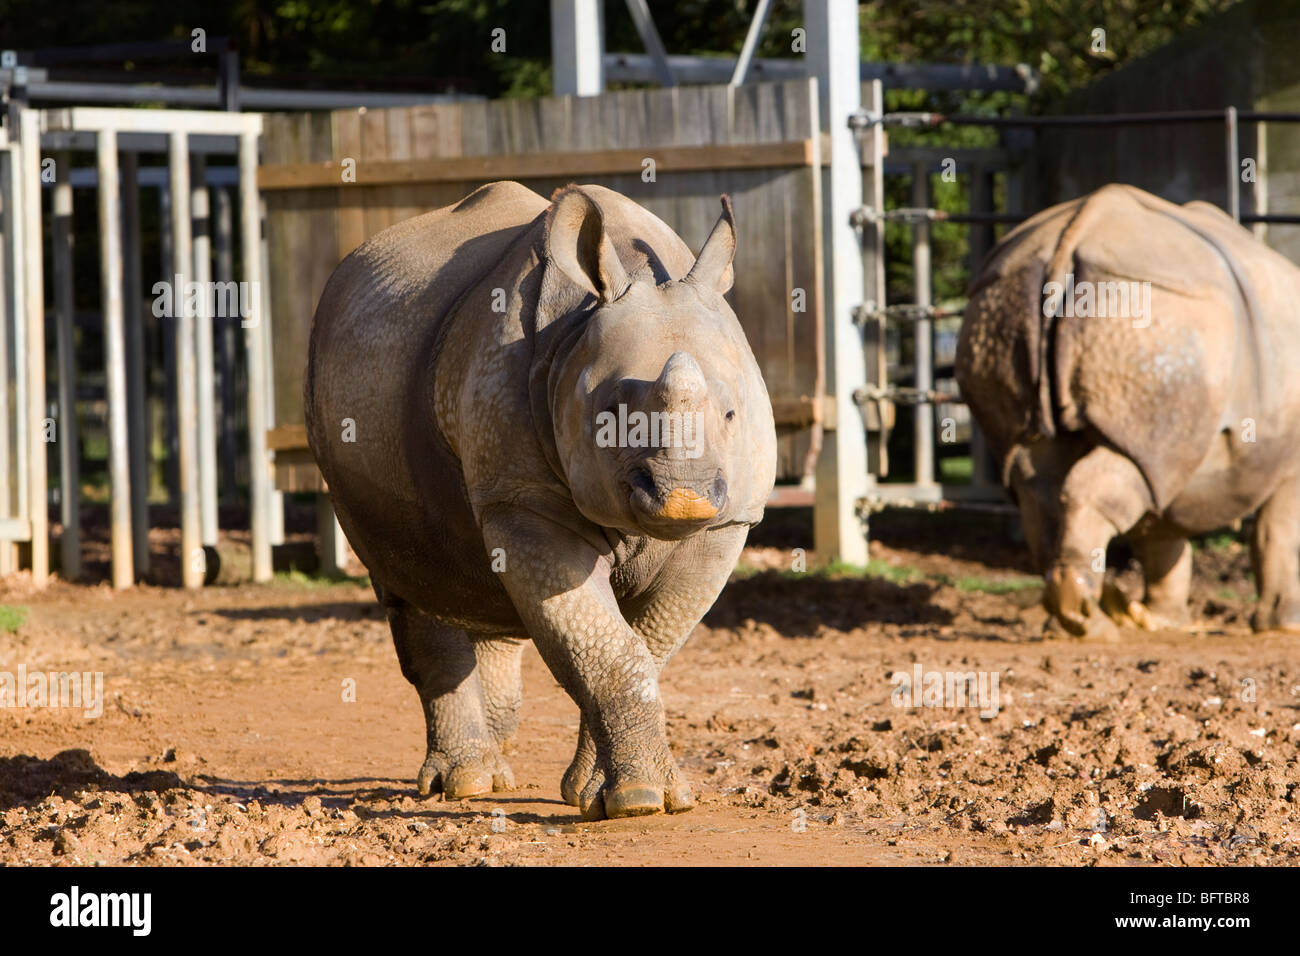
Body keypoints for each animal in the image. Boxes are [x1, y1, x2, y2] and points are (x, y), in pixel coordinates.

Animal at [305, 181, 776, 818]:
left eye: (730, 414)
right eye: (610, 417)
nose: (684, 495)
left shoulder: (726, 524)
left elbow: (640, 646)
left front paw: (603, 792)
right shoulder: (526, 498)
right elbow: (610, 647)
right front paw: (641, 800)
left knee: (482, 586)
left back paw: (497, 769)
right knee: (408, 576)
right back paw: (468, 783)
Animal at [956, 183, 1300, 638]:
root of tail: (1071, 236)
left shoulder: (1168, 453)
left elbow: (1160, 532)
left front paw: (1163, 621)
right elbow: (1278, 531)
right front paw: (1284, 626)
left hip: (1002, 304)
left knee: (1035, 473)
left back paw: (1075, 622)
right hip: (1156, 315)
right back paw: (1088, 624)